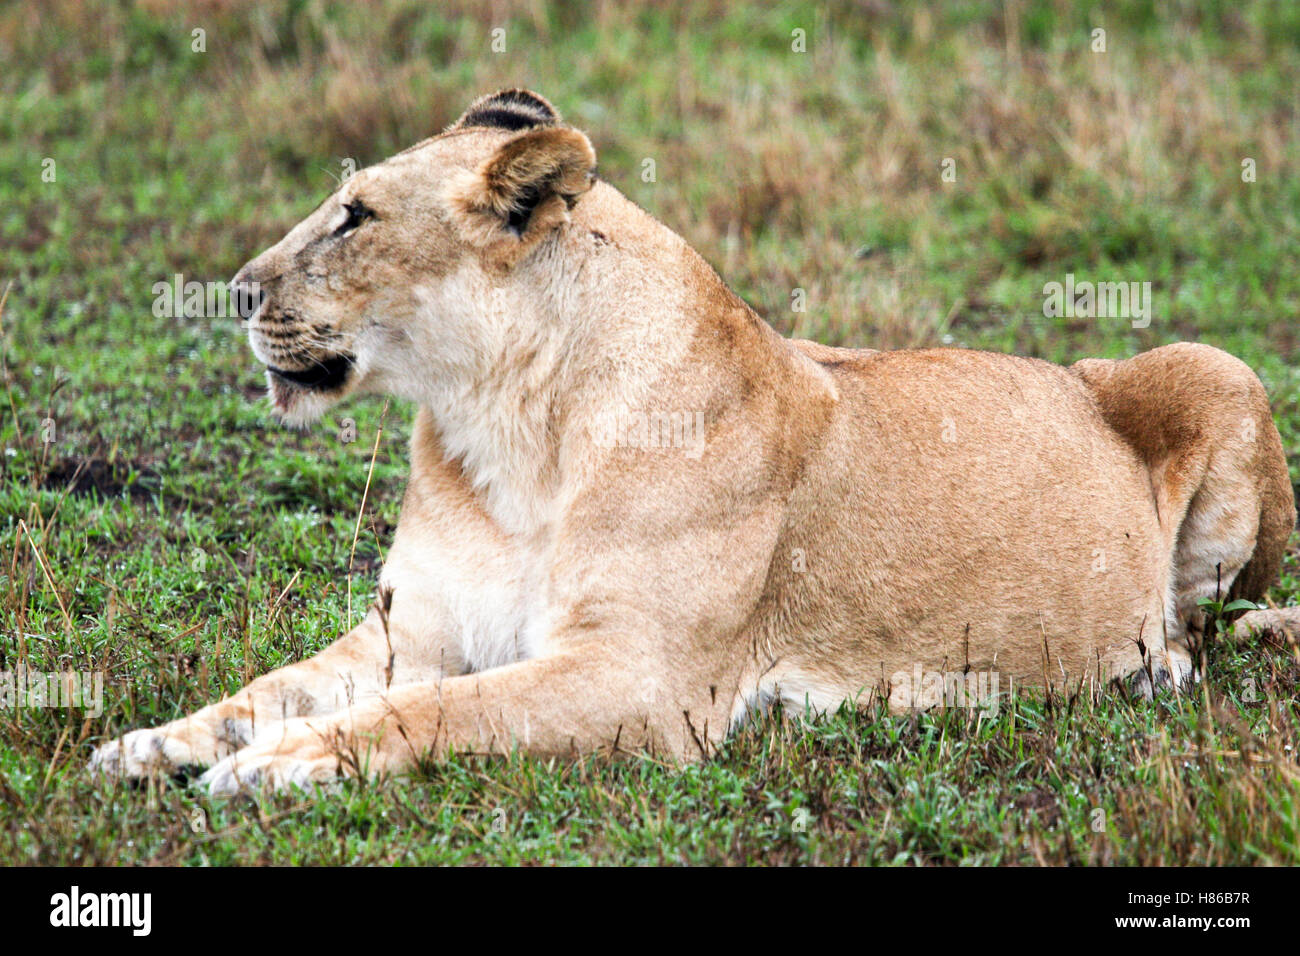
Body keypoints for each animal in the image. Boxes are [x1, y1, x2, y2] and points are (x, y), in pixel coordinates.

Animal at [91, 89, 1296, 795]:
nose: (234, 292)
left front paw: (278, 763)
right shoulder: (413, 628)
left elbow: (439, 709)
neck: (503, 430)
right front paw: (155, 744)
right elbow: (277, 683)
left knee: (1214, 623)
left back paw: (1156, 665)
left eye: (356, 217)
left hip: (1213, 366)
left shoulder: (639, 677)